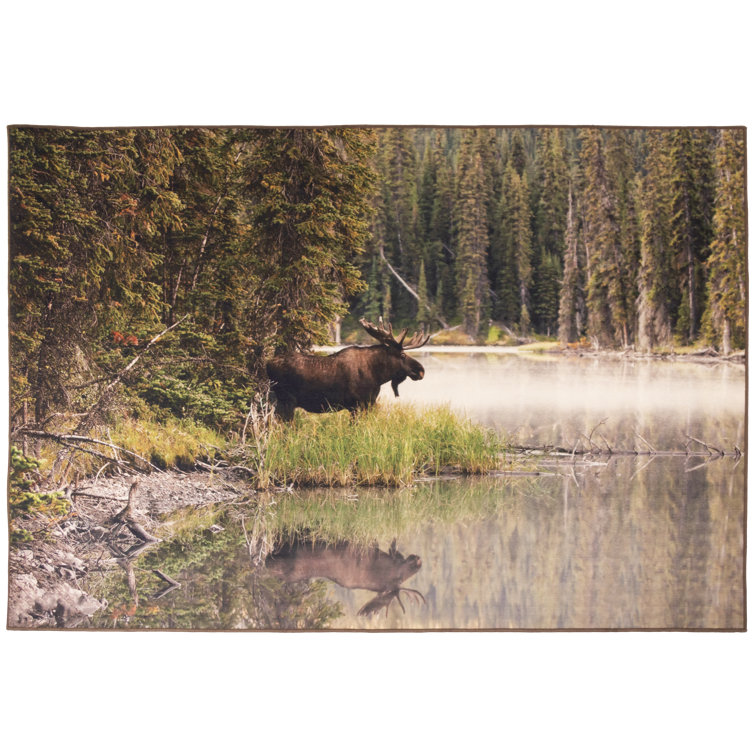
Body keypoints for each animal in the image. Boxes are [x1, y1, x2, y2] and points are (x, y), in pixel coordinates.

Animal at [265, 317, 430, 420]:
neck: (378, 376)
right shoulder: (356, 405)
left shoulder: (368, 404)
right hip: (286, 401)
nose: (421, 370)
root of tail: (268, 364)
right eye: (402, 355)